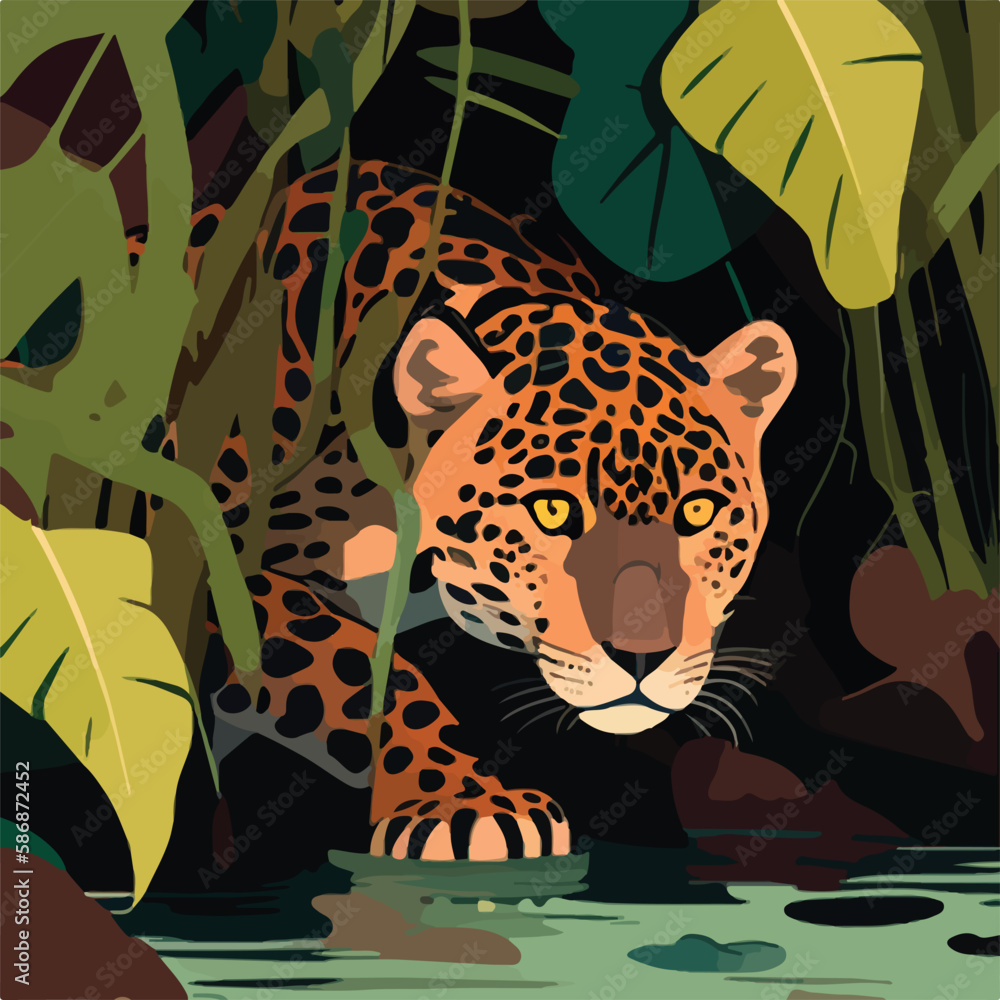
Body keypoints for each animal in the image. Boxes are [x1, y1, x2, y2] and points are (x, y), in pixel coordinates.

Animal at [163, 158, 796, 863]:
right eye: (552, 513)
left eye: (699, 511)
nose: (642, 658)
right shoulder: (212, 569)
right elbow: (360, 668)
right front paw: (460, 804)